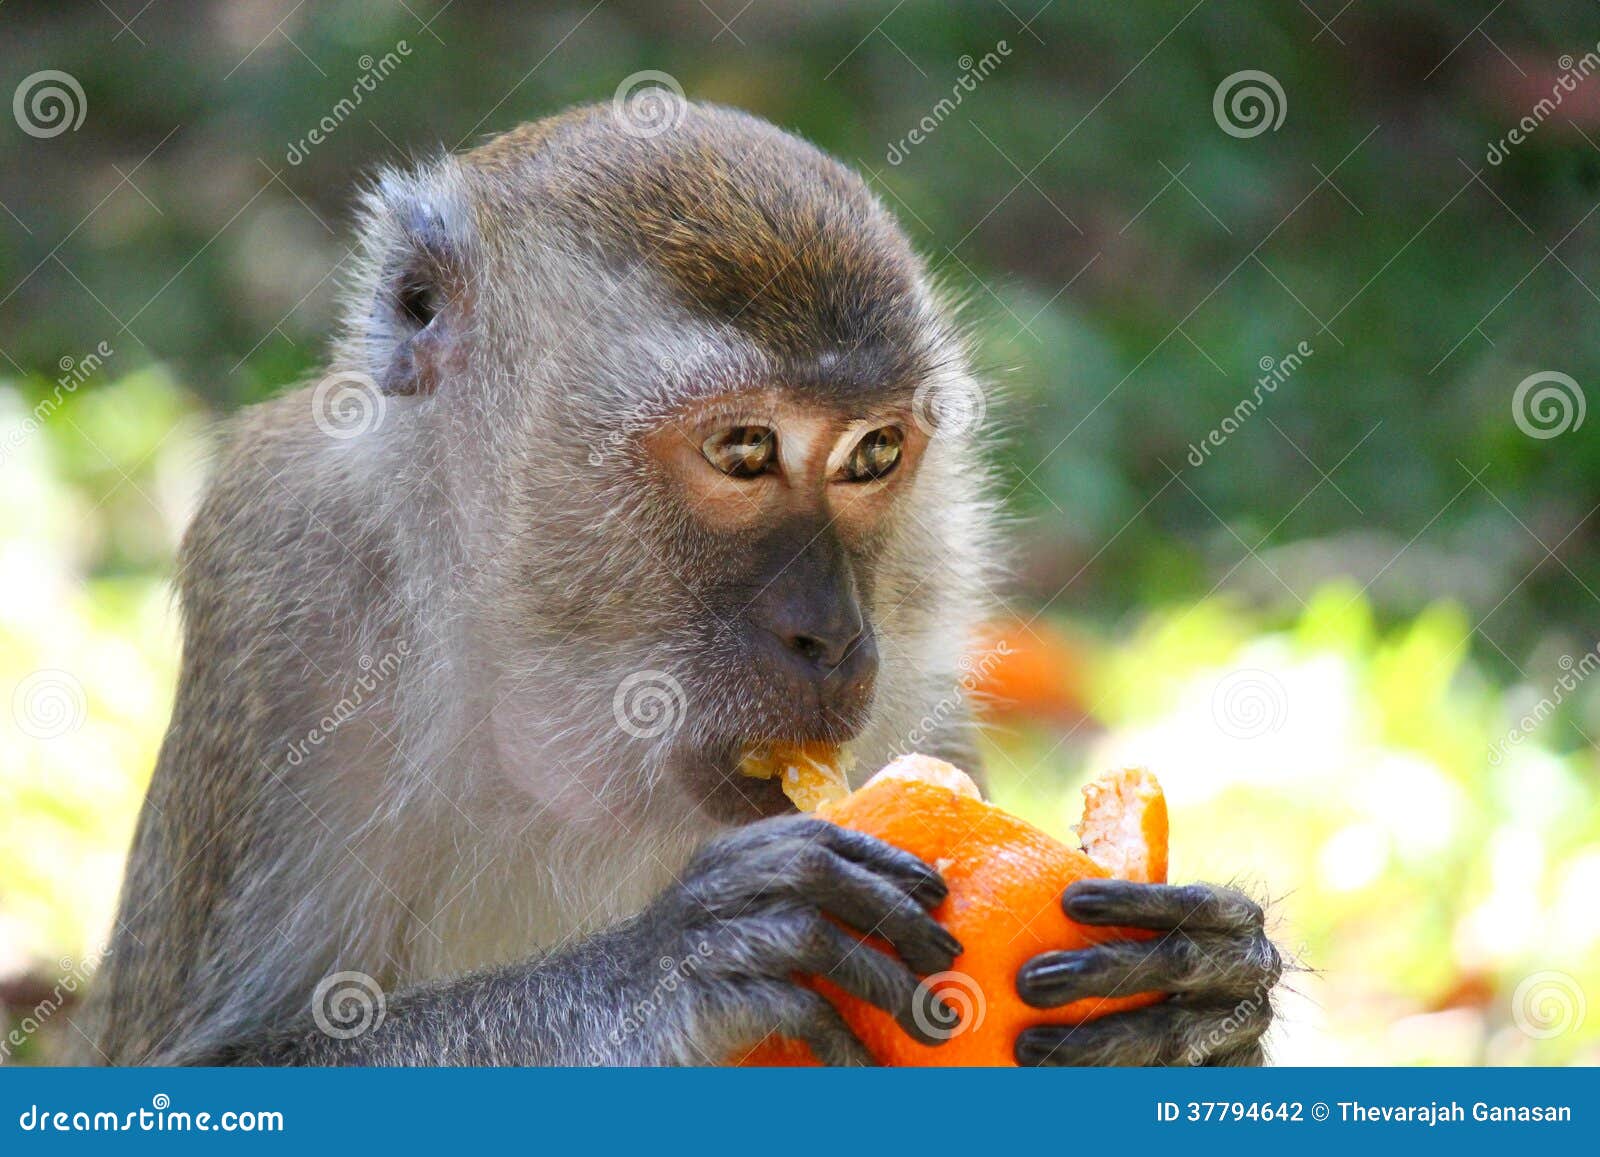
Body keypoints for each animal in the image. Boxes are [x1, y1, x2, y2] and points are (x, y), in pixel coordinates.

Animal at [76, 99, 1280, 1067]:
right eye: (744, 450)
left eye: (873, 454)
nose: (833, 637)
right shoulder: (286, 585)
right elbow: (217, 1061)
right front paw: (670, 965)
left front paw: (1201, 991)